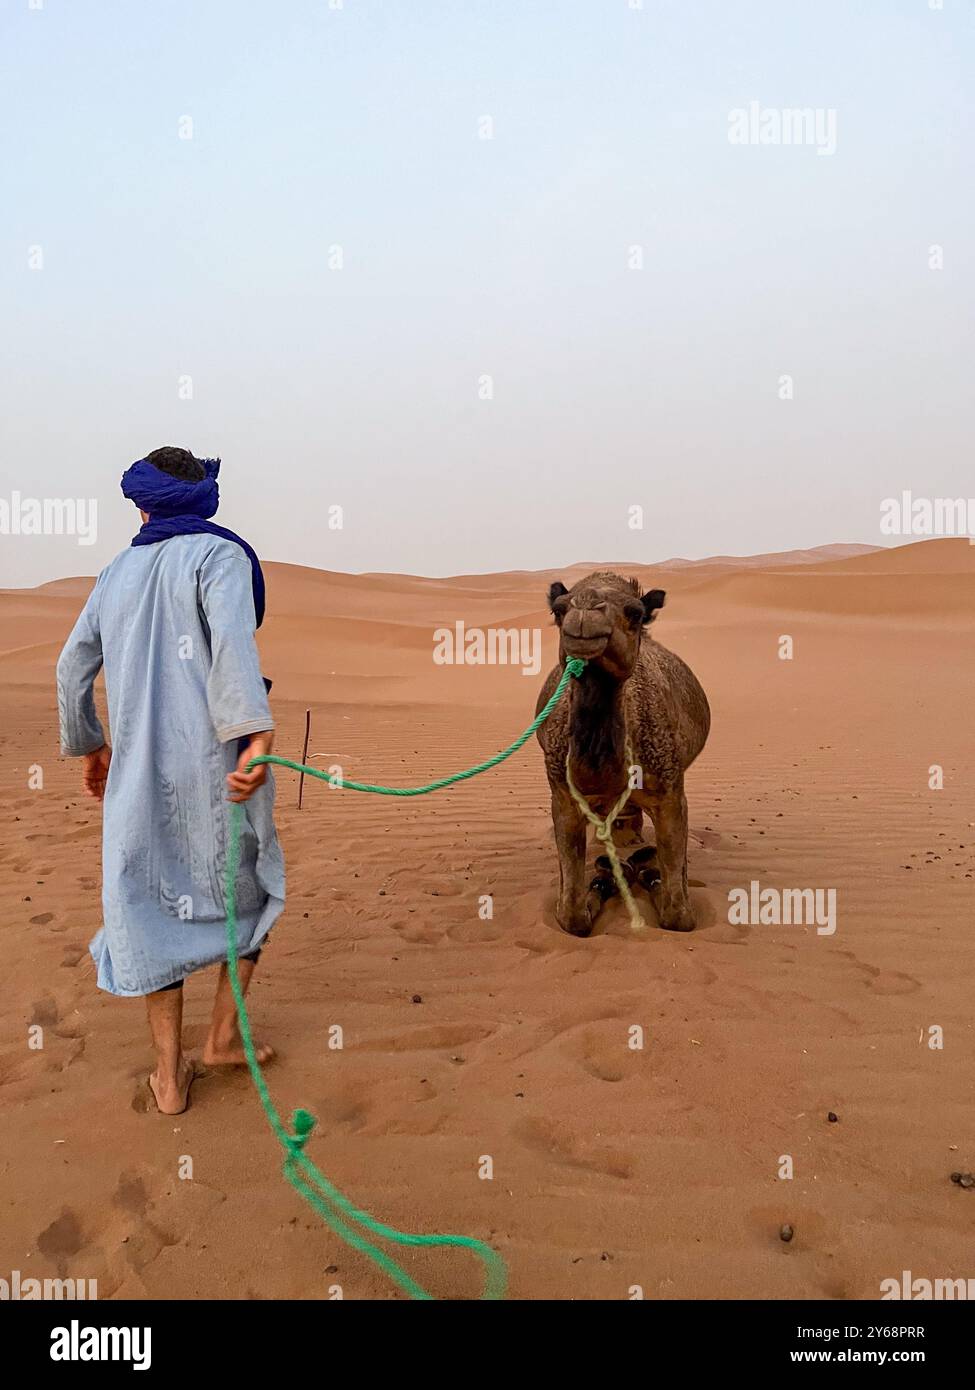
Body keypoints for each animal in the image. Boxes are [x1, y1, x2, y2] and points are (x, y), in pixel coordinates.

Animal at [536, 571, 710, 936]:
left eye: (635, 613)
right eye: (559, 609)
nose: (585, 610)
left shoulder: (671, 792)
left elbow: (679, 915)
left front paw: (648, 871)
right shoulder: (562, 793)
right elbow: (571, 916)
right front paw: (607, 877)